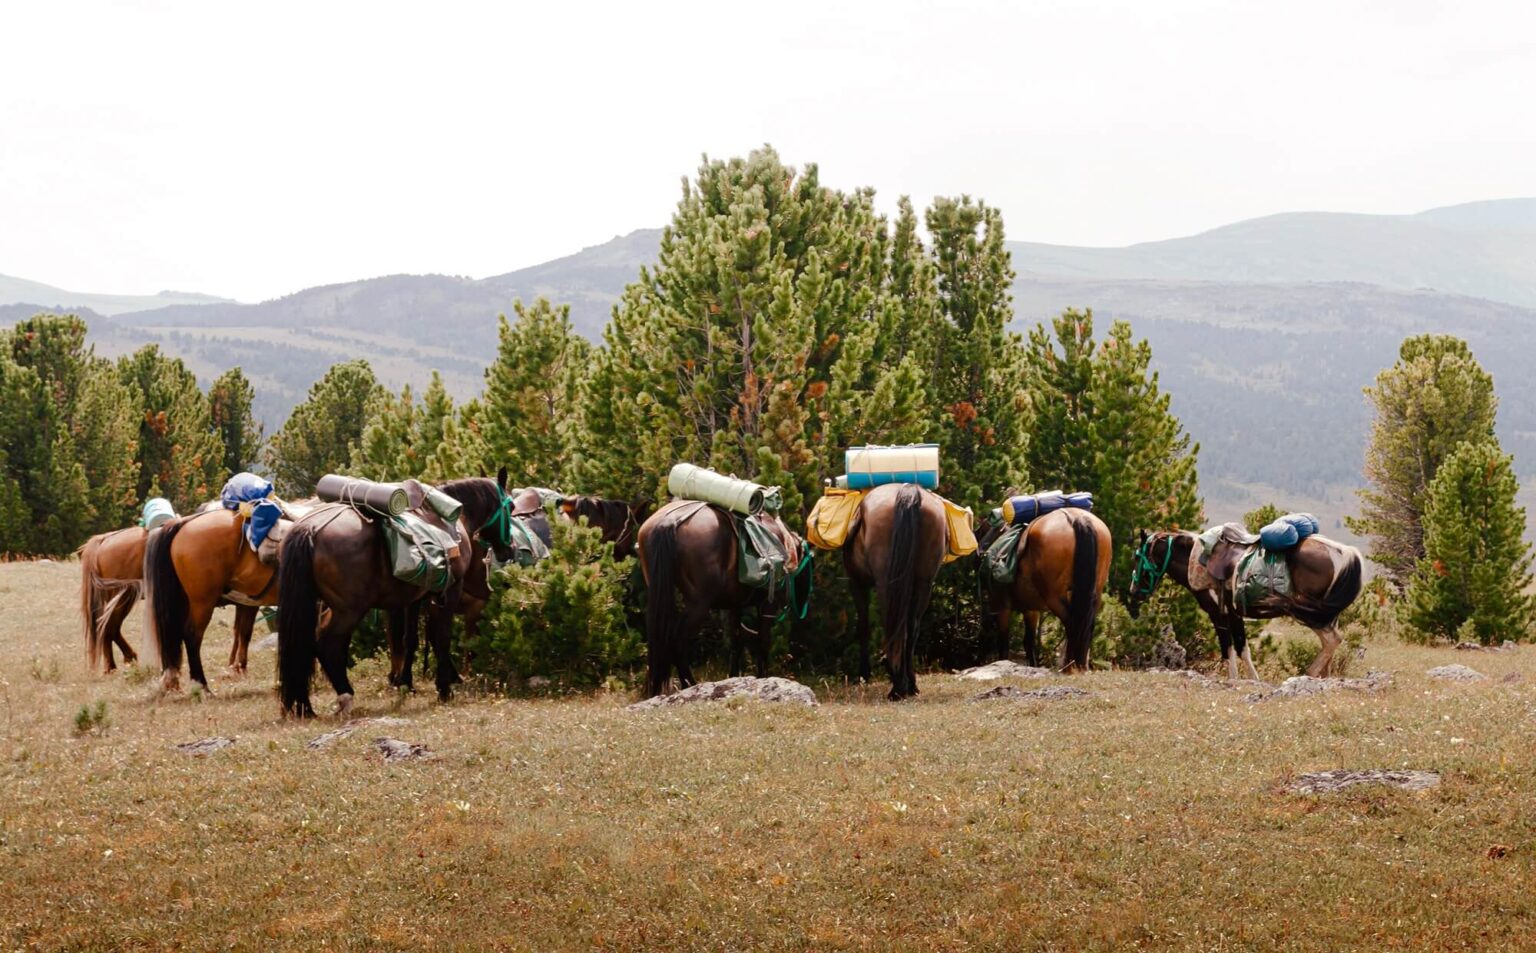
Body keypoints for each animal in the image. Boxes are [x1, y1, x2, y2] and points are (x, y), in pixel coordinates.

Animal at [277, 475, 508, 716]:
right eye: (509, 506)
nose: (507, 550)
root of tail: (310, 528)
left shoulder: (417, 598)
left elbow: (413, 638)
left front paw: (408, 682)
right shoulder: (449, 590)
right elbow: (441, 636)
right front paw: (444, 688)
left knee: (310, 645)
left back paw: (305, 705)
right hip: (349, 610)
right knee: (326, 644)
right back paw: (344, 696)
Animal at [636, 500, 808, 698]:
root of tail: (669, 522)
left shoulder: (734, 606)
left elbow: (736, 642)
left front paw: (734, 679)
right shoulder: (767, 605)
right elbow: (763, 642)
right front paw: (763, 679)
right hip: (700, 605)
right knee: (677, 638)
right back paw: (690, 684)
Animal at [843, 483, 950, 700]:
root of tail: (908, 491)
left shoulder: (857, 582)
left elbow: (863, 626)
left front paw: (864, 674)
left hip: (886, 581)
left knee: (892, 624)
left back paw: (897, 685)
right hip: (924, 583)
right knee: (911, 627)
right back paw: (908, 684)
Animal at [978, 507, 1112, 671]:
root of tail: (1076, 517)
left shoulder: (1001, 607)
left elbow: (1003, 642)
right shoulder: (1031, 610)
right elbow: (1028, 641)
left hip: (1053, 596)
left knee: (1072, 623)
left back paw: (1069, 666)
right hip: (1094, 595)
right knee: (1087, 625)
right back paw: (1079, 665)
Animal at [1126, 528, 1363, 679]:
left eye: (1137, 557)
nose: (1133, 592)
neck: (1196, 559)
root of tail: (1345, 553)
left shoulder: (1218, 614)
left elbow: (1228, 649)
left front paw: (1233, 680)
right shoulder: (1235, 614)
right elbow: (1243, 648)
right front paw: (1252, 680)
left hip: (1311, 614)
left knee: (1332, 640)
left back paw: (1311, 673)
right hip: (1326, 615)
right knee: (1329, 645)